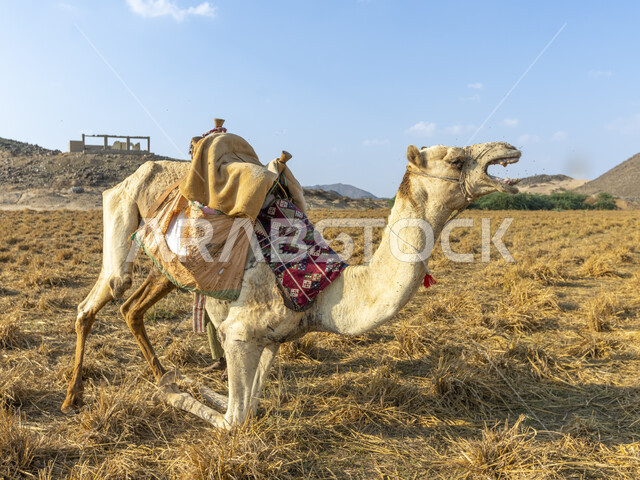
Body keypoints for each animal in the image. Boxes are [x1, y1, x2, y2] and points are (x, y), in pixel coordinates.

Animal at [61, 141, 521, 428]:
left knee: (130, 308)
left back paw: (158, 374)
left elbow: (247, 404)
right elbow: (233, 421)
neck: (326, 291)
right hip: (121, 207)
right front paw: (176, 393)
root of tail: (140, 170)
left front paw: (187, 384)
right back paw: (74, 397)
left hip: (167, 269)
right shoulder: (240, 333)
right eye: (457, 159)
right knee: (104, 295)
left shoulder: (273, 339)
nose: (508, 150)